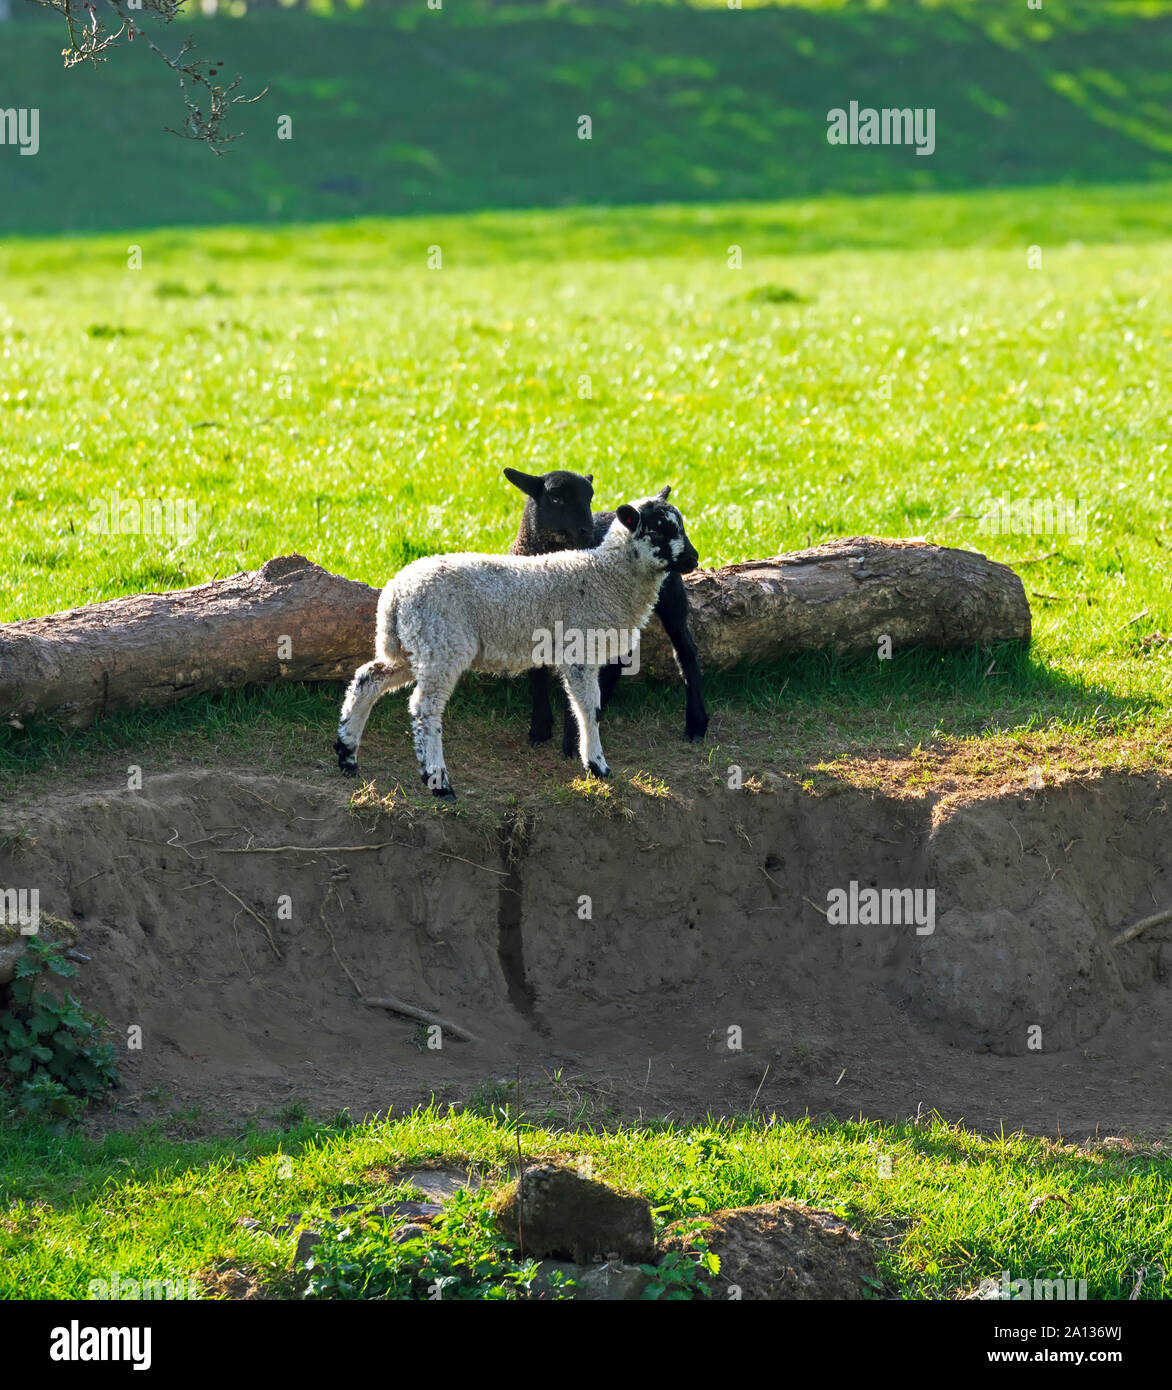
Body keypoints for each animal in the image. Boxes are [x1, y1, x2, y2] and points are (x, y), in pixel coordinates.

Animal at [334, 497, 700, 800]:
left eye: (681, 526)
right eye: (659, 530)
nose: (694, 558)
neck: (607, 577)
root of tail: (395, 594)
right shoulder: (579, 650)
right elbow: (590, 709)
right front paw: (597, 765)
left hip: (414, 647)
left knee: (368, 678)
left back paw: (346, 753)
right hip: (442, 643)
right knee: (424, 709)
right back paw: (437, 781)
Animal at [504, 468, 709, 753]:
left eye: (590, 497)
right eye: (556, 498)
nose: (588, 531)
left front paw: (572, 741)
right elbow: (537, 674)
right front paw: (540, 729)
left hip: (671, 597)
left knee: (686, 652)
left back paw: (696, 724)